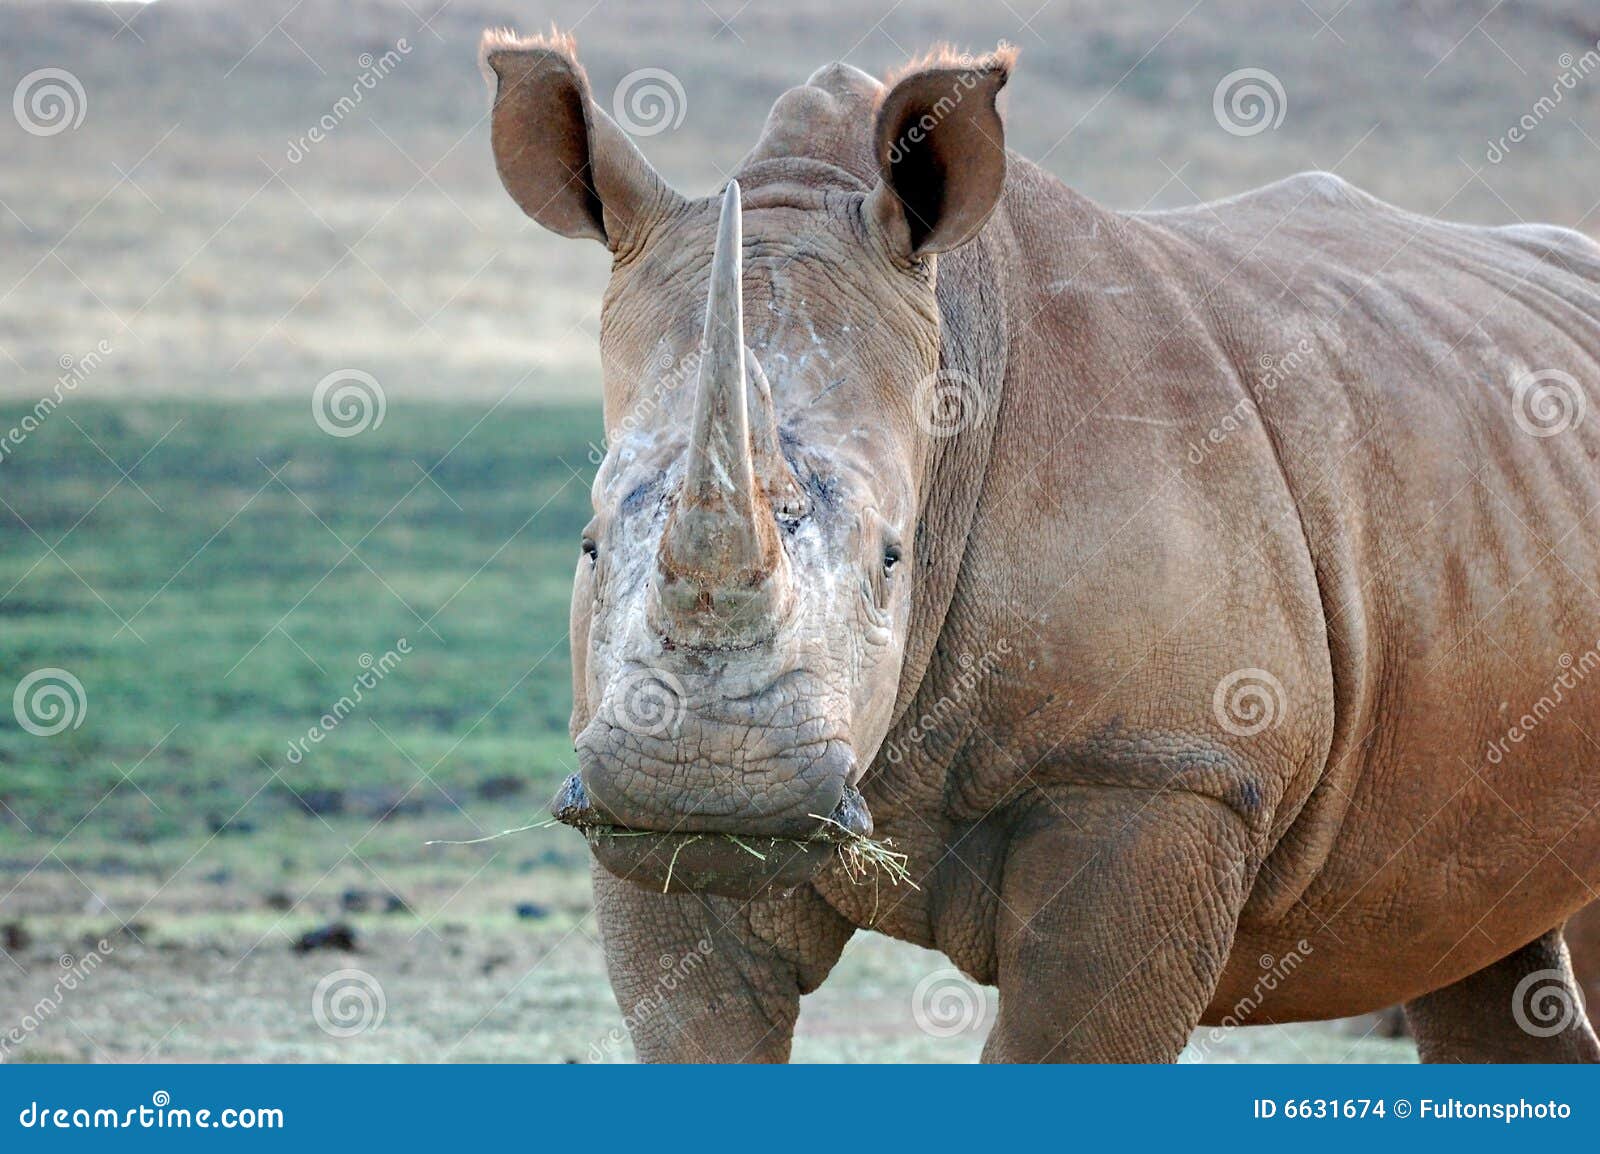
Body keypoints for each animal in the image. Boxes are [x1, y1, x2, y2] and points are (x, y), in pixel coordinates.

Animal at [480, 29, 1600, 1061]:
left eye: (893, 559)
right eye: (587, 544)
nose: (707, 779)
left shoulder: (1160, 767)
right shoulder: (650, 825)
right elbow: (702, 1019)